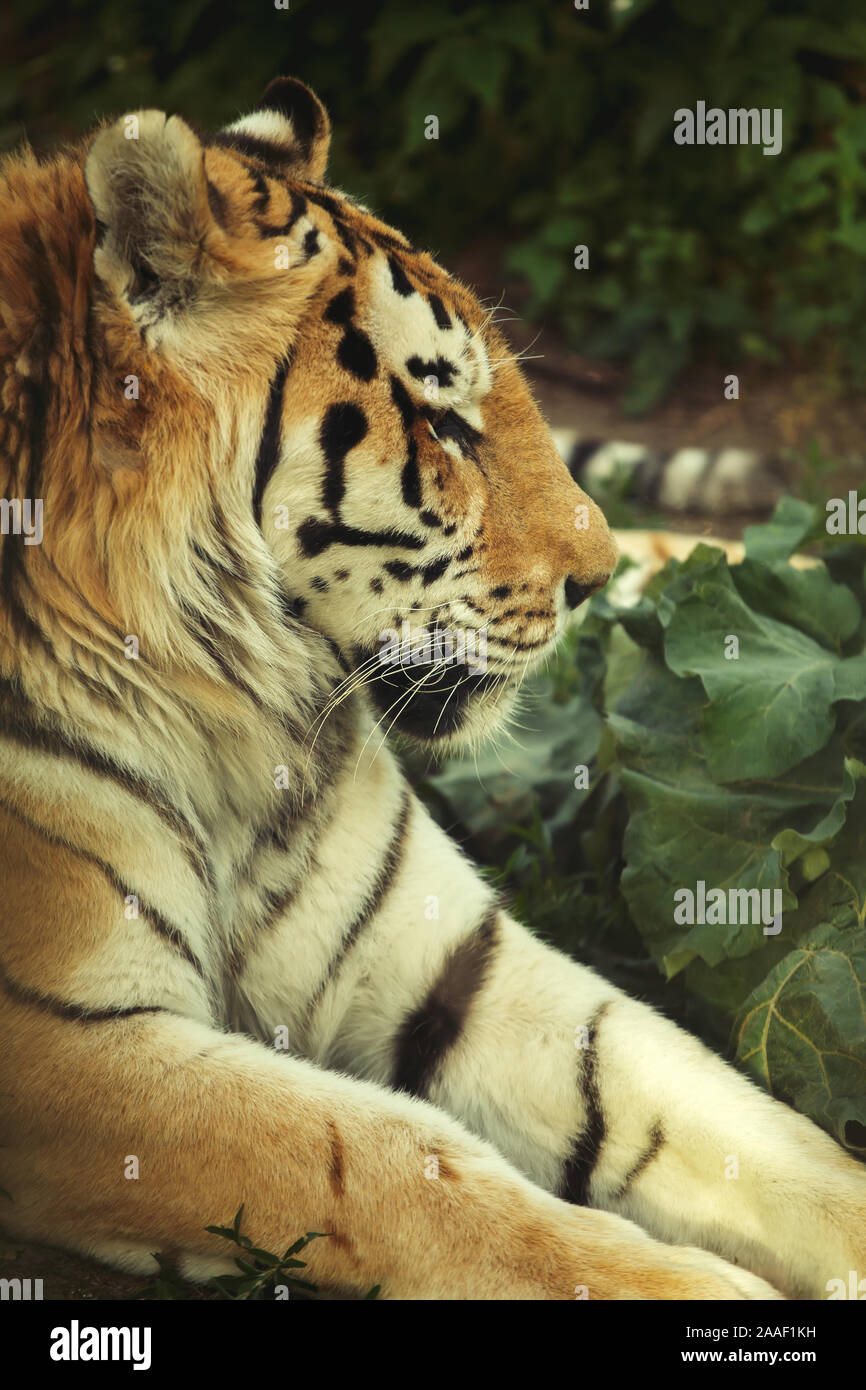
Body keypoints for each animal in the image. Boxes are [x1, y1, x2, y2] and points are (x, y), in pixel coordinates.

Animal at [0, 75, 863, 1302]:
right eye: (444, 421)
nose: (591, 577)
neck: (246, 727)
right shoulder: (64, 1045)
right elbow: (384, 1156)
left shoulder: (455, 961)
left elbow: (728, 1116)